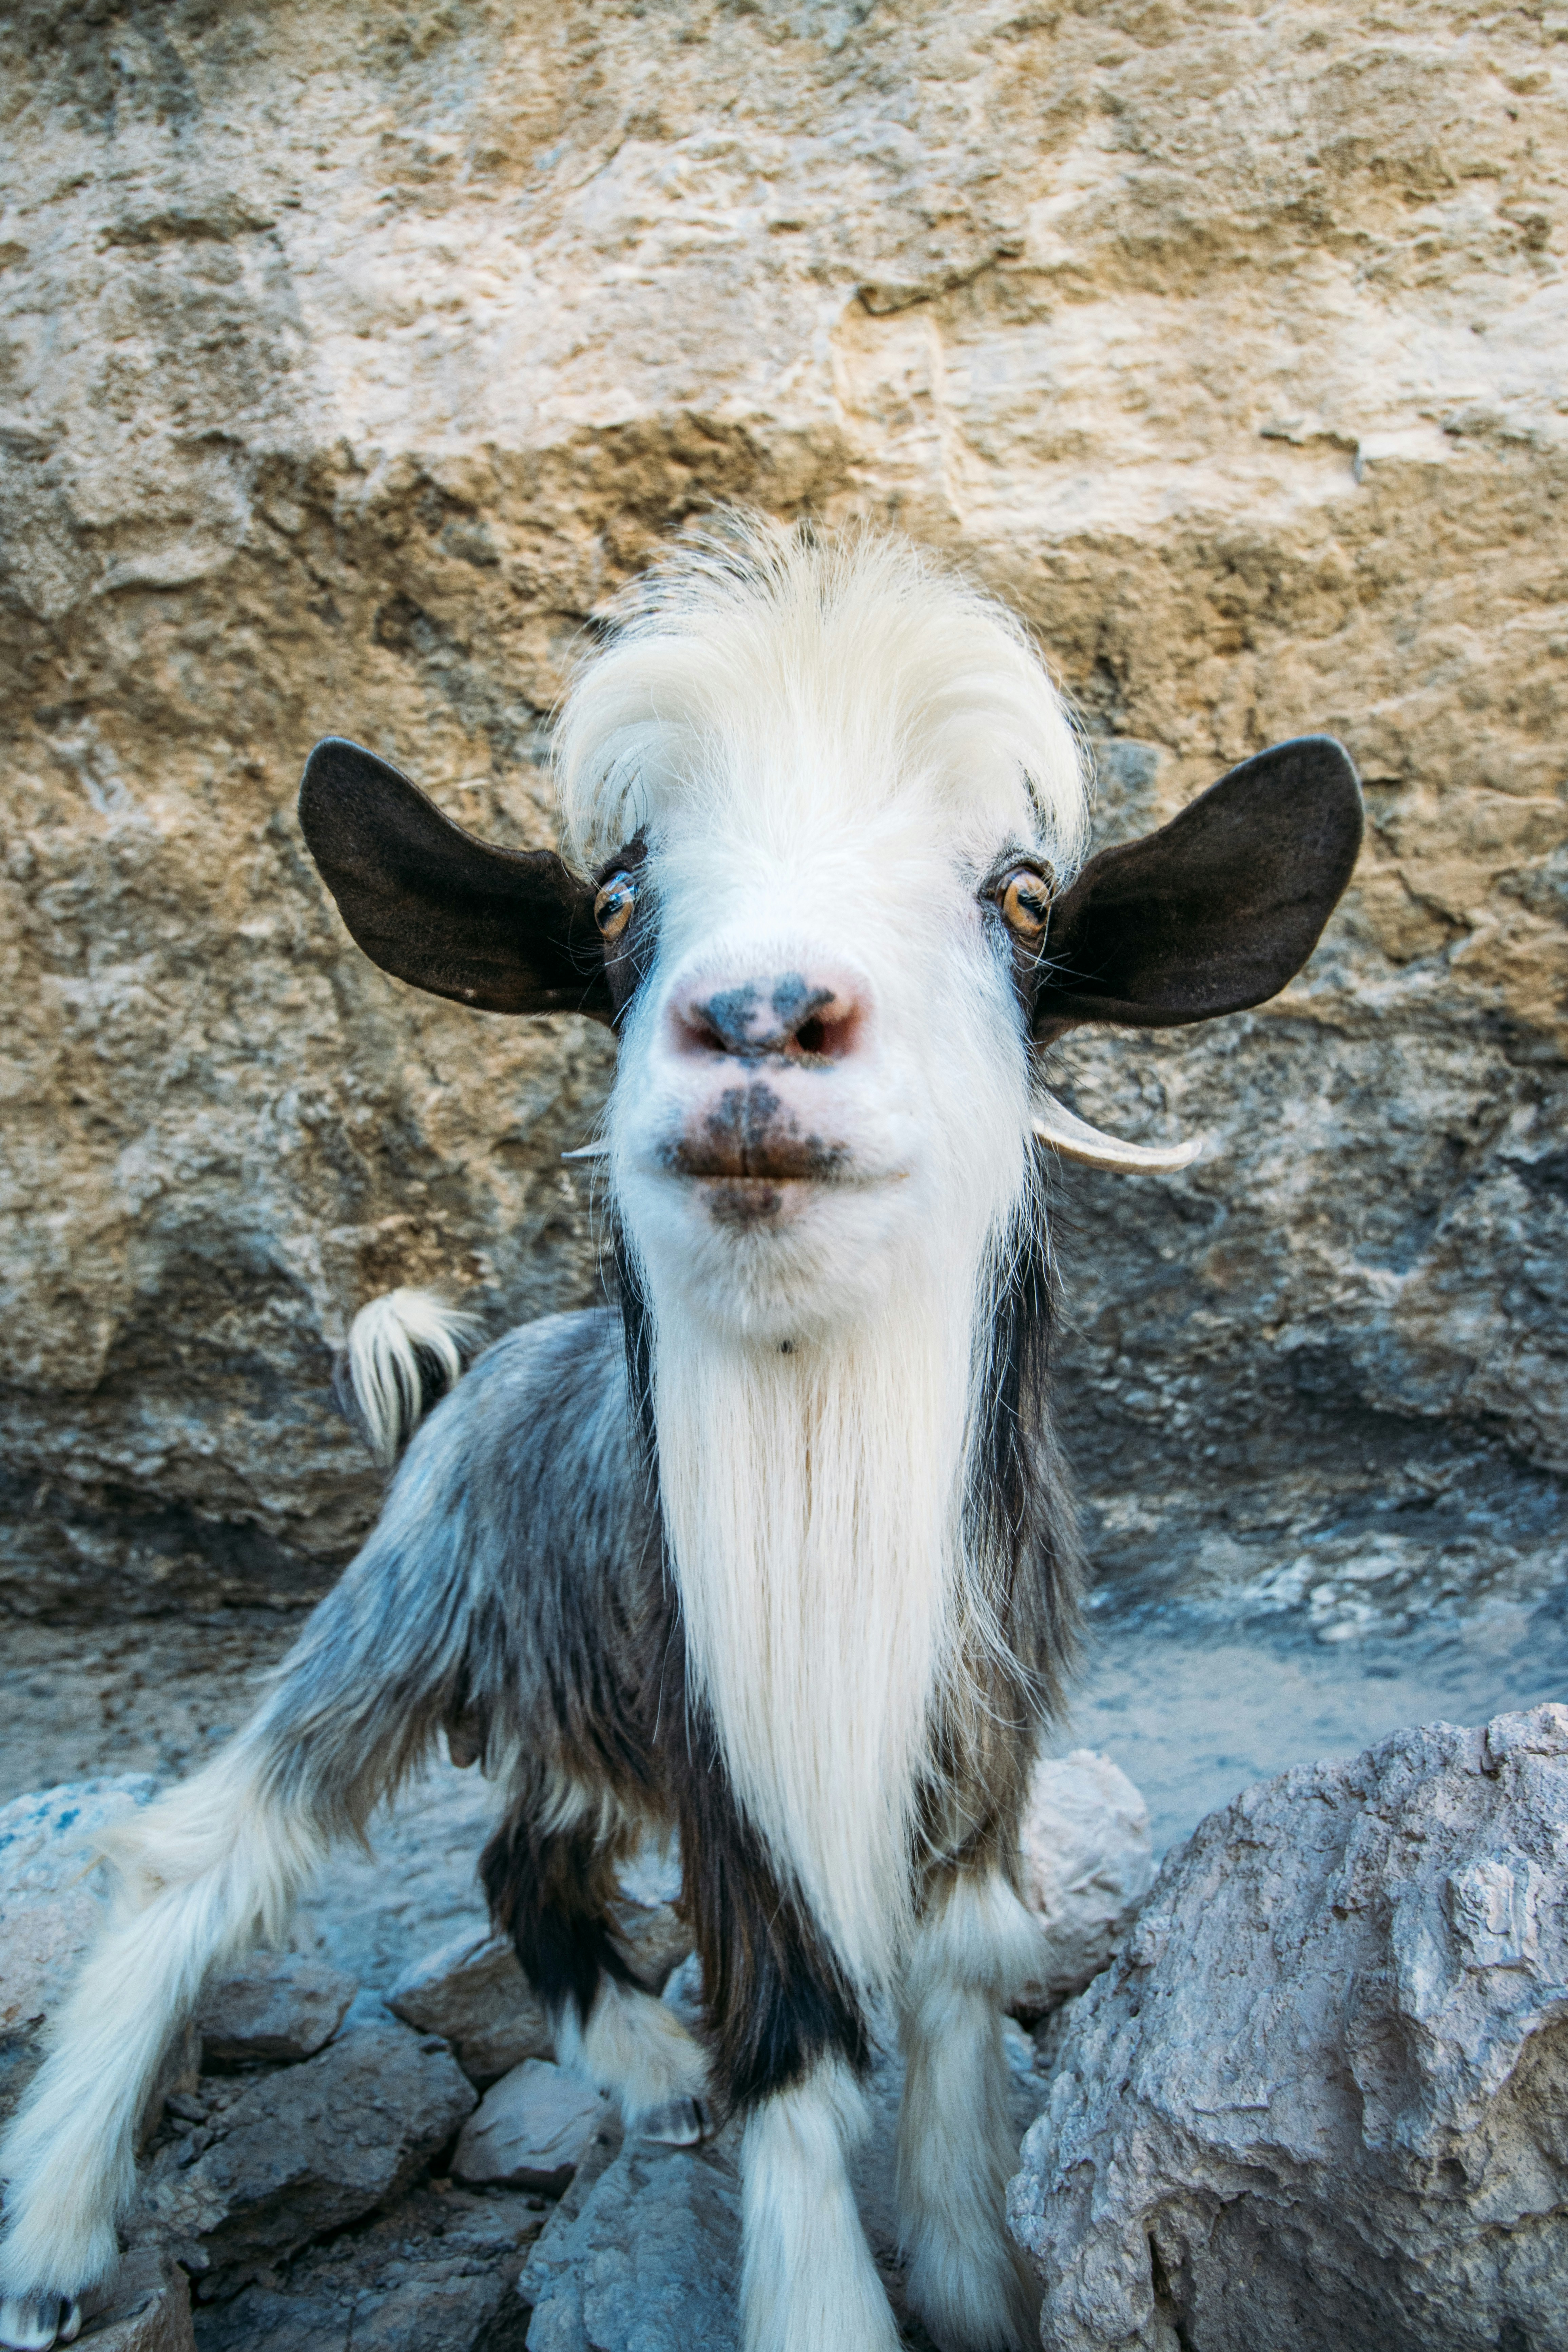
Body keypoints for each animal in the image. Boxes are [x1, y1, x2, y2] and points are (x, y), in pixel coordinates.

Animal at [0, 516, 1361, 2352]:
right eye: (616, 901)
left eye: (1019, 898)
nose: (764, 1014)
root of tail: (478, 1380)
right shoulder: (727, 1751)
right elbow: (784, 2029)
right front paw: (828, 2293)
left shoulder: (980, 1738)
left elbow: (956, 1988)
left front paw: (976, 2279)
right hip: (403, 1615)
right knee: (202, 1855)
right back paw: (57, 2239)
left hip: (570, 1690)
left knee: (521, 1853)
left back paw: (636, 2062)